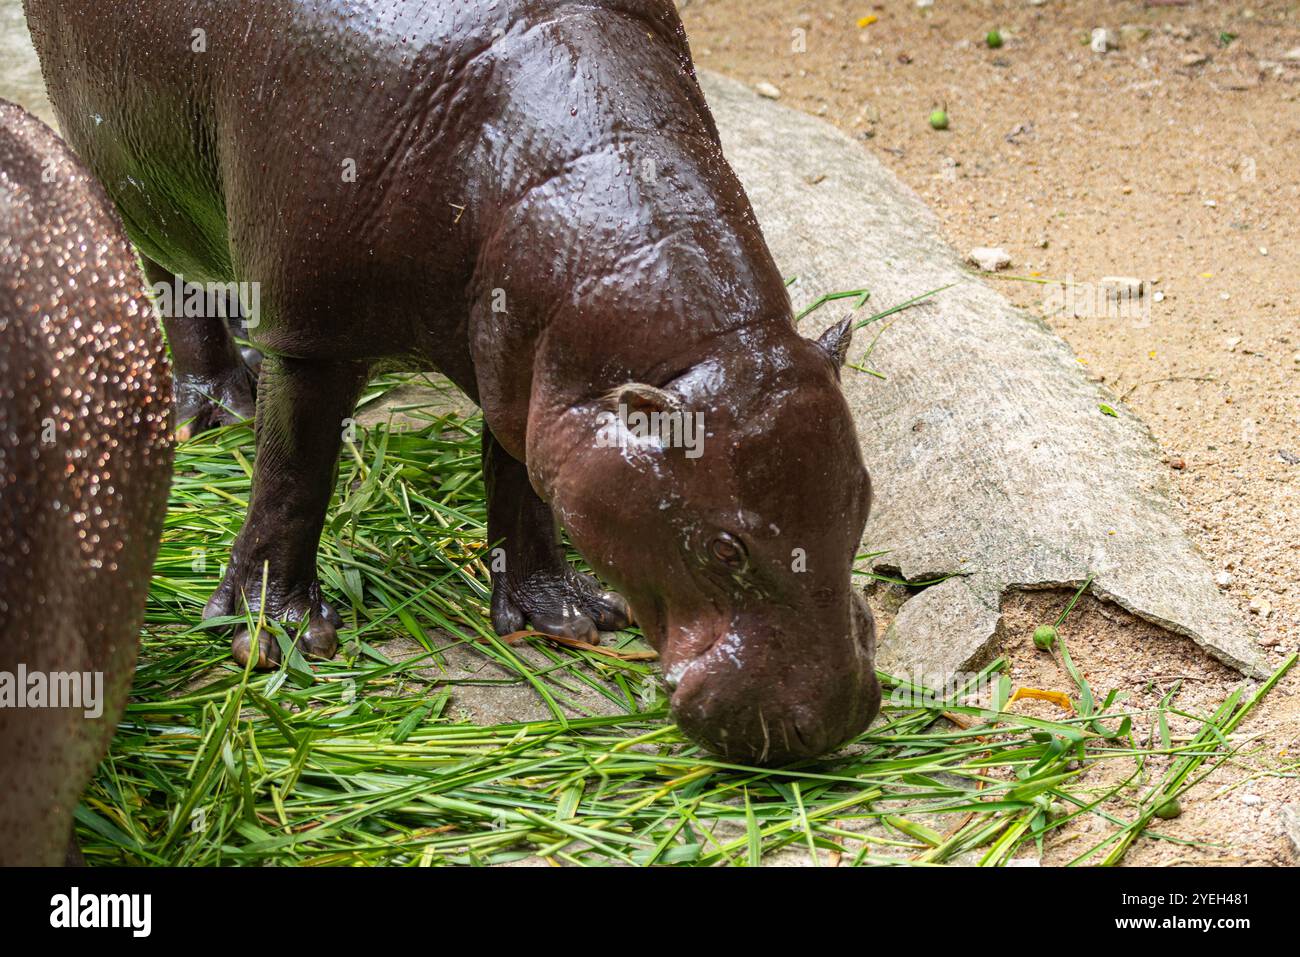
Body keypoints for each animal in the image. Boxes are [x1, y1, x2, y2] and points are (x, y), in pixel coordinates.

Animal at [24, 0, 879, 763]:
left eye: (862, 499)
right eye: (723, 546)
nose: (833, 717)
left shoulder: (532, 371)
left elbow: (522, 478)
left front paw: (563, 616)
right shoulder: (312, 334)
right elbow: (291, 480)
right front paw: (279, 635)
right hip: (125, 157)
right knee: (165, 272)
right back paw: (217, 409)